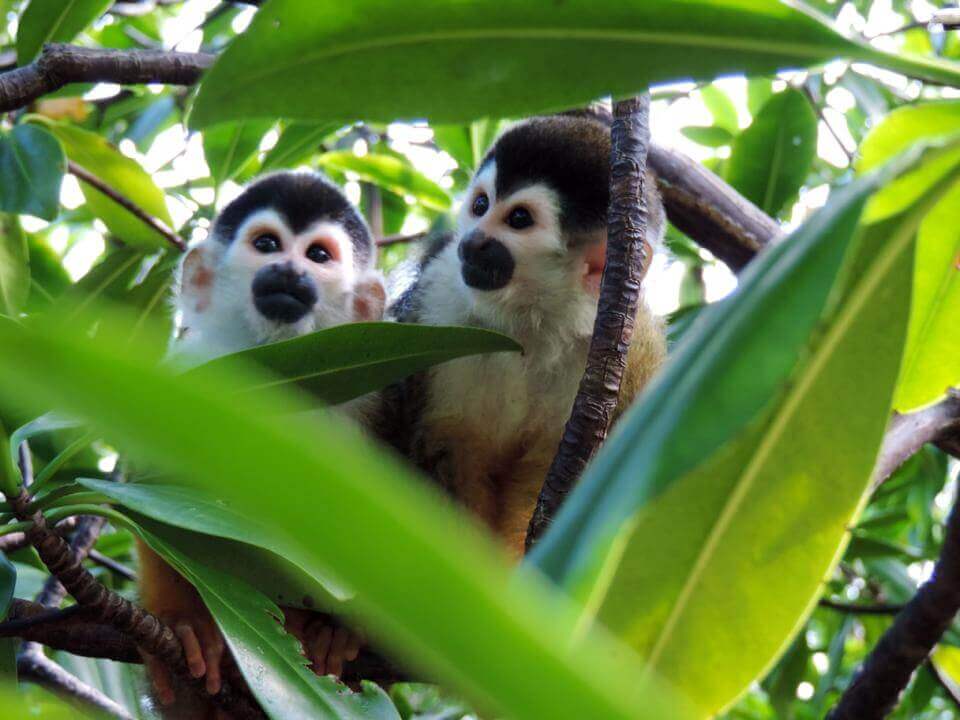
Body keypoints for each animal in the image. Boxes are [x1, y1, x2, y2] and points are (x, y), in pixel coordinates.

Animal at [140, 171, 382, 715]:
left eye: (318, 255)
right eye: (267, 245)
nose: (289, 270)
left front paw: (336, 632)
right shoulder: (187, 373)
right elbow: (153, 493)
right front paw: (182, 621)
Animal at [385, 113, 667, 559]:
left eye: (519, 220)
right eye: (480, 205)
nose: (473, 241)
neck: (532, 322)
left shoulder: (628, 347)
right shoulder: (439, 298)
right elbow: (451, 445)